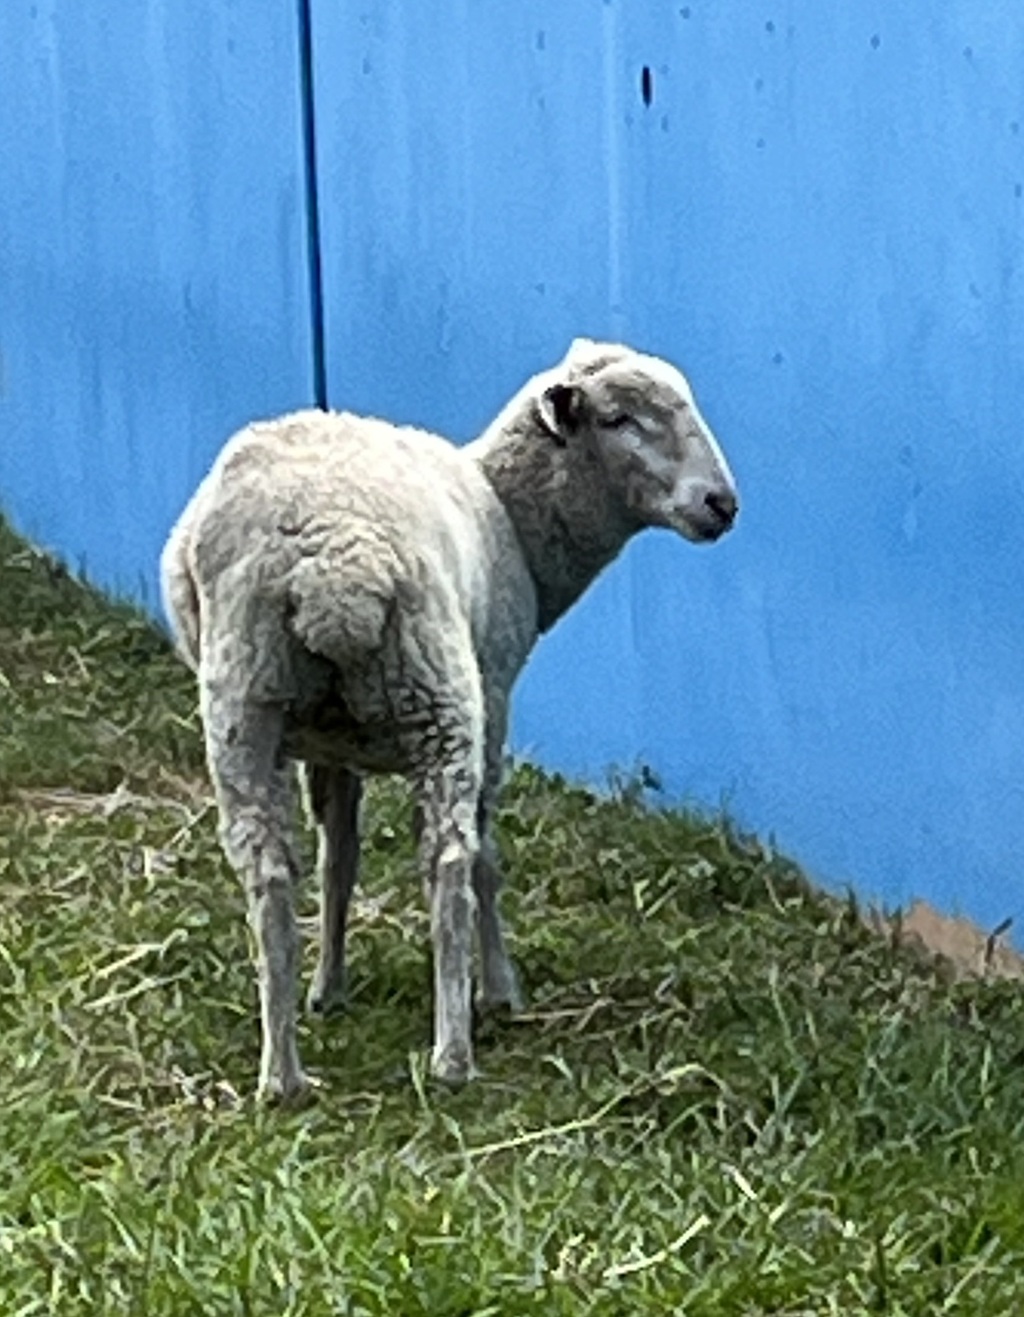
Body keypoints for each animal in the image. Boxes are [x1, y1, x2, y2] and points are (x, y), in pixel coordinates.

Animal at [160, 338, 738, 1099]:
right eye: (619, 419)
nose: (721, 503)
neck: (519, 520)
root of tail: (330, 572)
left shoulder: (329, 746)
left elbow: (338, 859)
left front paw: (328, 987)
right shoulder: (493, 696)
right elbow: (485, 854)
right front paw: (498, 990)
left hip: (242, 710)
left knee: (269, 875)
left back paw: (282, 1075)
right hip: (440, 699)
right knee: (450, 860)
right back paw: (453, 1052)